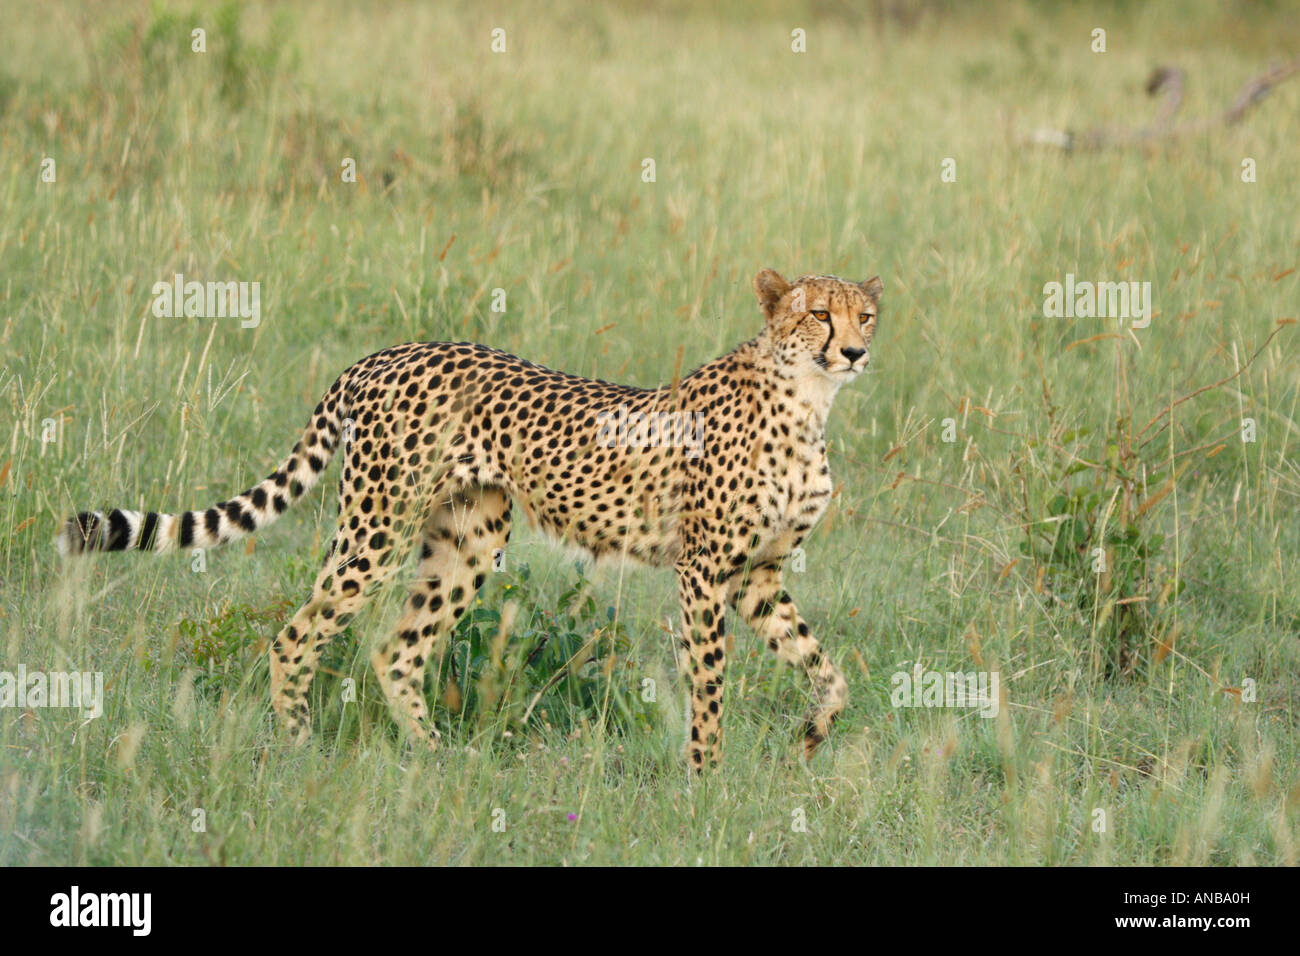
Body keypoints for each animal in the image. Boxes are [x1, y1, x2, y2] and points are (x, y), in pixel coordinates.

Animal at [57, 268, 882, 771]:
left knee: (397, 649)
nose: (854, 351)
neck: (807, 403)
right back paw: (296, 746)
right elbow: (709, 685)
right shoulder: (704, 572)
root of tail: (384, 353)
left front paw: (810, 737)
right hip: (377, 529)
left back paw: (435, 757)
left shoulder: (757, 577)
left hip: (467, 541)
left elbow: (828, 669)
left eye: (866, 315)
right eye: (818, 313)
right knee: (297, 633)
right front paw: (704, 781)